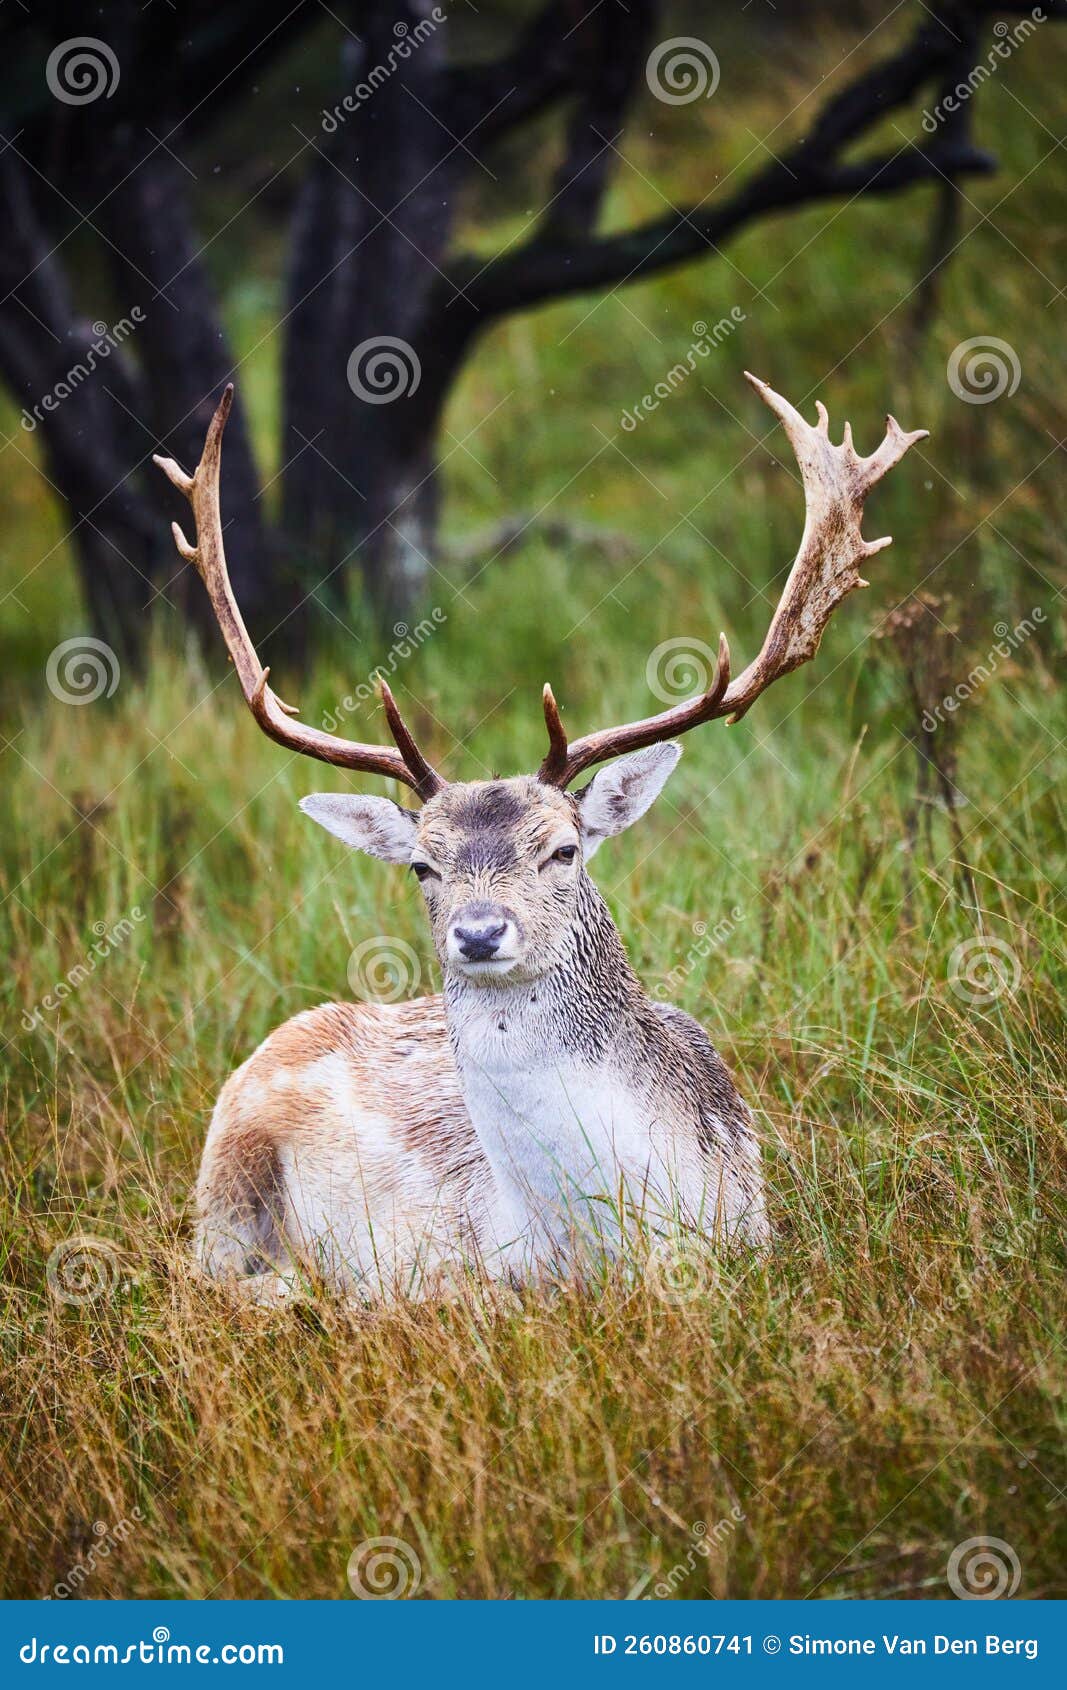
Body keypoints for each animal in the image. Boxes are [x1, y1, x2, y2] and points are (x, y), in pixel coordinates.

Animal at [154, 376, 925, 1301]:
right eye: (422, 866)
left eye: (563, 850)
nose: (480, 933)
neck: (597, 1243)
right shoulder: (451, 1278)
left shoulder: (753, 1236)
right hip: (222, 1171)